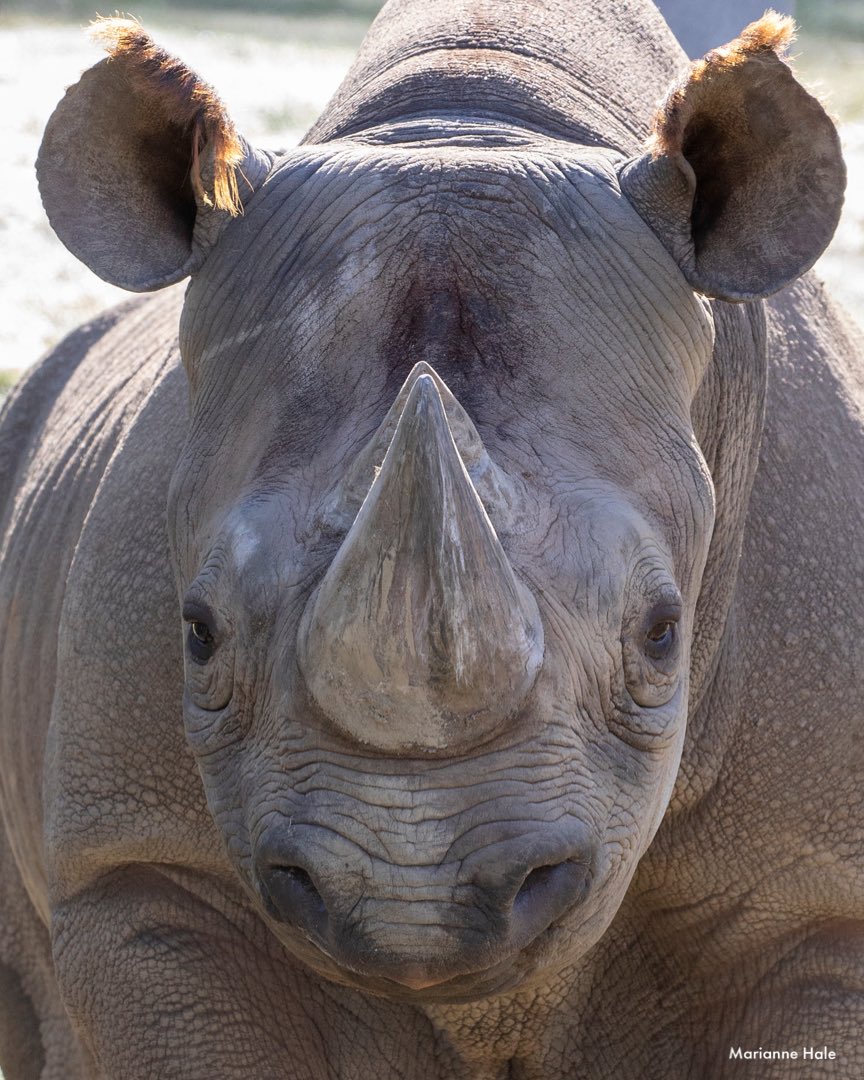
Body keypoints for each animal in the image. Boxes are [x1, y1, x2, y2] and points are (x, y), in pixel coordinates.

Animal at [0, 0, 861, 1077]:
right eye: (195, 631)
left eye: (663, 631)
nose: (411, 902)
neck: (478, 120)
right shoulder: (142, 868)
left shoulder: (813, 895)